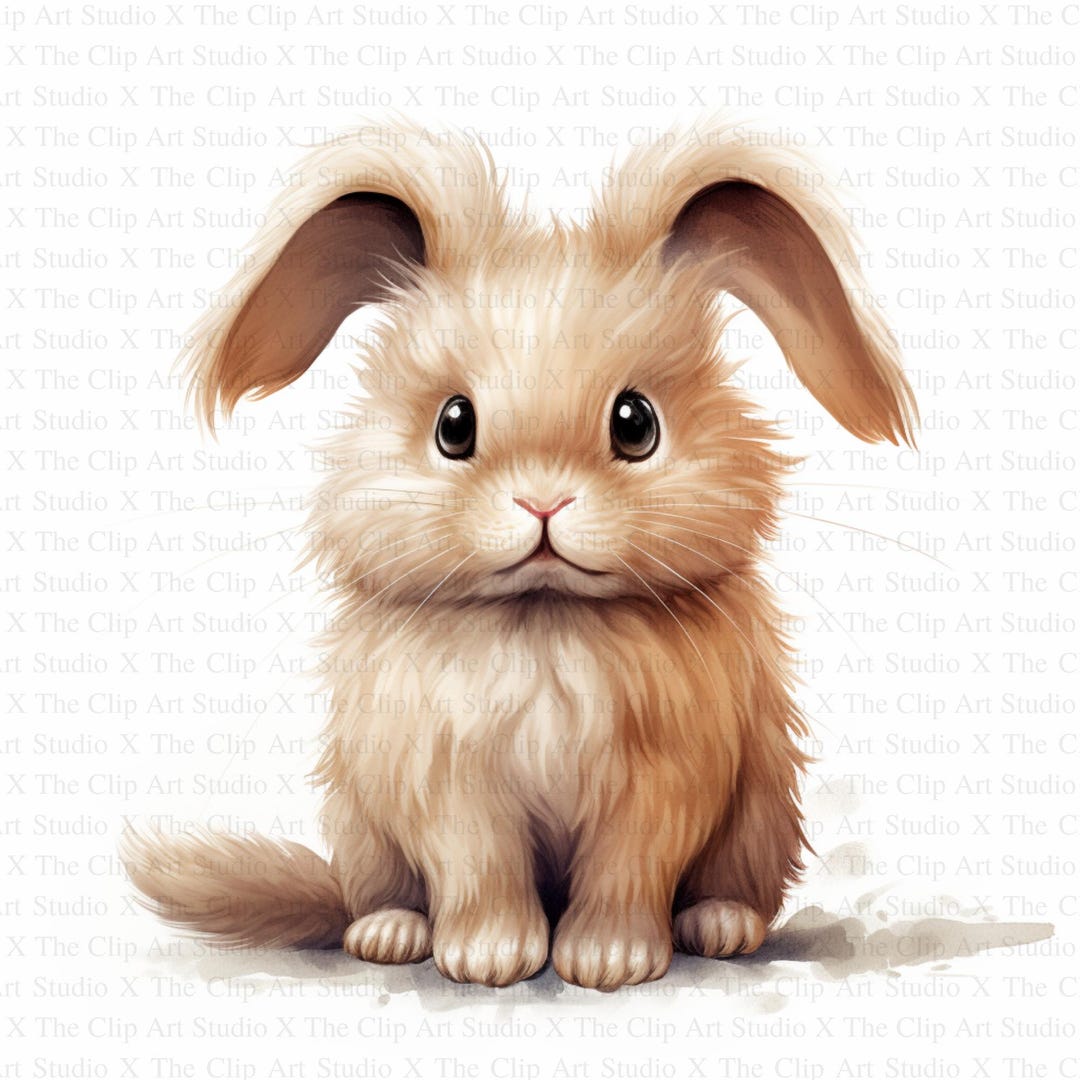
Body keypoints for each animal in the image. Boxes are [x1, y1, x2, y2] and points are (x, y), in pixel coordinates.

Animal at [123, 118, 917, 991]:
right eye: (454, 425)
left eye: (636, 423)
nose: (543, 505)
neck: (545, 617)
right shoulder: (445, 782)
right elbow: (479, 867)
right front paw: (489, 957)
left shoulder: (664, 785)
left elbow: (628, 867)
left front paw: (609, 961)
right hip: (361, 828)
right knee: (378, 893)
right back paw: (391, 933)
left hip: (759, 819)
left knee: (729, 886)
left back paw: (720, 925)